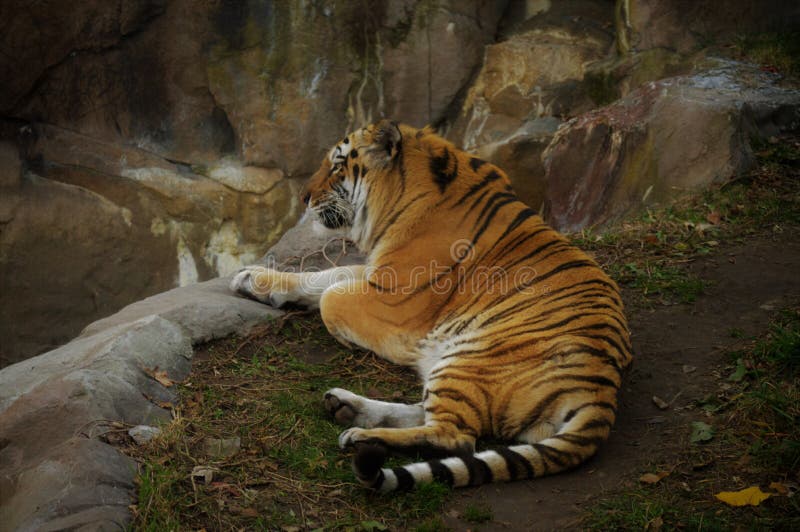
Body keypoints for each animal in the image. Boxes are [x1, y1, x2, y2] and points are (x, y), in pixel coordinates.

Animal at [230, 120, 632, 492]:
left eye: (337, 166)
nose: (303, 197)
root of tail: (602, 388)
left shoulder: (395, 301)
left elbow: (331, 295)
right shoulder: (376, 273)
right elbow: (328, 276)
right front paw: (251, 279)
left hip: (472, 356)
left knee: (455, 438)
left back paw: (362, 436)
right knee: (428, 415)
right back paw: (345, 407)